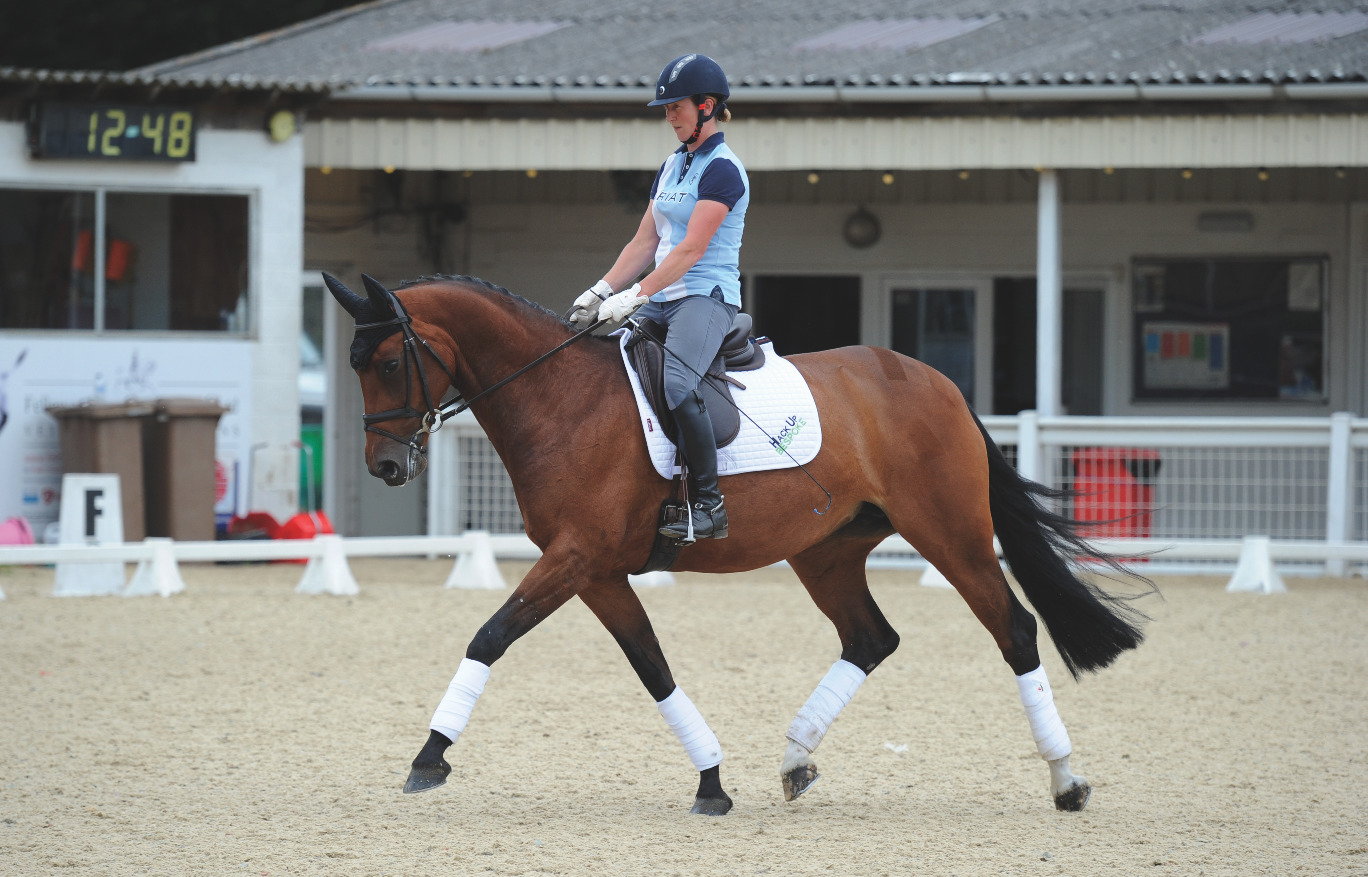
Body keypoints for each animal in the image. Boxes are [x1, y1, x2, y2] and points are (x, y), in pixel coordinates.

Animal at [323, 271, 1149, 816]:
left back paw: (1066, 780)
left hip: (952, 535)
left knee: (1014, 630)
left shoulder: (575, 558)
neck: (562, 400)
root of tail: (934, 380)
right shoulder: (596, 572)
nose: (387, 466)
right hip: (825, 550)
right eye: (357, 366)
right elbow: (652, 667)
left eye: (390, 362)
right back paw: (796, 758)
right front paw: (712, 782)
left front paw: (428, 757)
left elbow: (490, 636)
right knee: (870, 638)